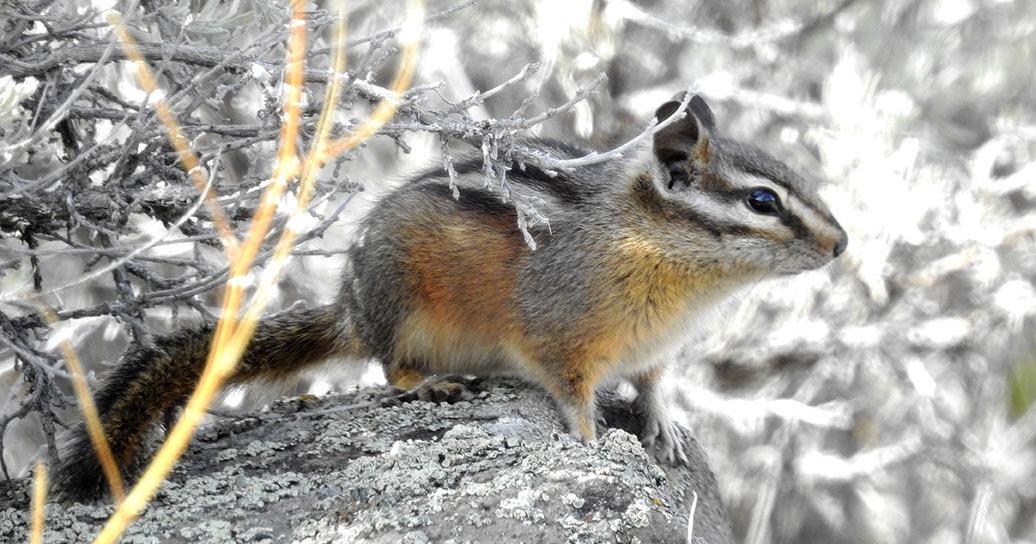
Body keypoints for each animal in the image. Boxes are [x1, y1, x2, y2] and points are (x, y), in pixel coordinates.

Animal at [54, 93, 847, 500]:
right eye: (763, 200)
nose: (842, 244)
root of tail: (351, 307)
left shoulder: (655, 350)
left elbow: (652, 384)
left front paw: (666, 424)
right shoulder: (558, 335)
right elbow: (571, 392)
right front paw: (592, 443)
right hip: (404, 307)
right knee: (388, 366)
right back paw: (429, 385)